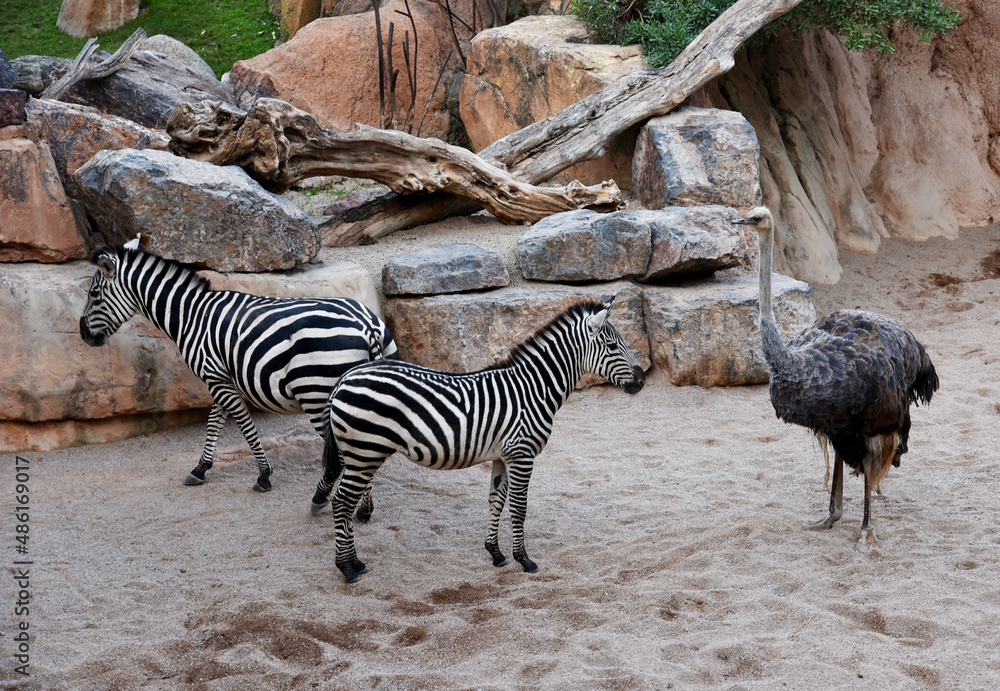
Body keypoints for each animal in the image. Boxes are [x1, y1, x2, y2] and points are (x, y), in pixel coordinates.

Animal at [79, 239, 397, 492]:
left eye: (93, 295)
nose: (83, 335)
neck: (191, 315)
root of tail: (368, 325)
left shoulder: (215, 377)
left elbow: (244, 425)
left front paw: (264, 475)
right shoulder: (222, 377)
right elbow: (214, 423)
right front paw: (201, 468)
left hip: (319, 395)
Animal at [310, 298, 645, 583]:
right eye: (612, 345)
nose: (641, 381)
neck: (533, 389)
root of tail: (344, 379)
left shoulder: (502, 455)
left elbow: (496, 501)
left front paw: (495, 553)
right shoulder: (522, 454)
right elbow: (519, 507)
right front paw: (524, 559)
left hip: (359, 453)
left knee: (345, 502)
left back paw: (355, 562)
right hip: (365, 452)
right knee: (341, 501)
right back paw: (347, 568)